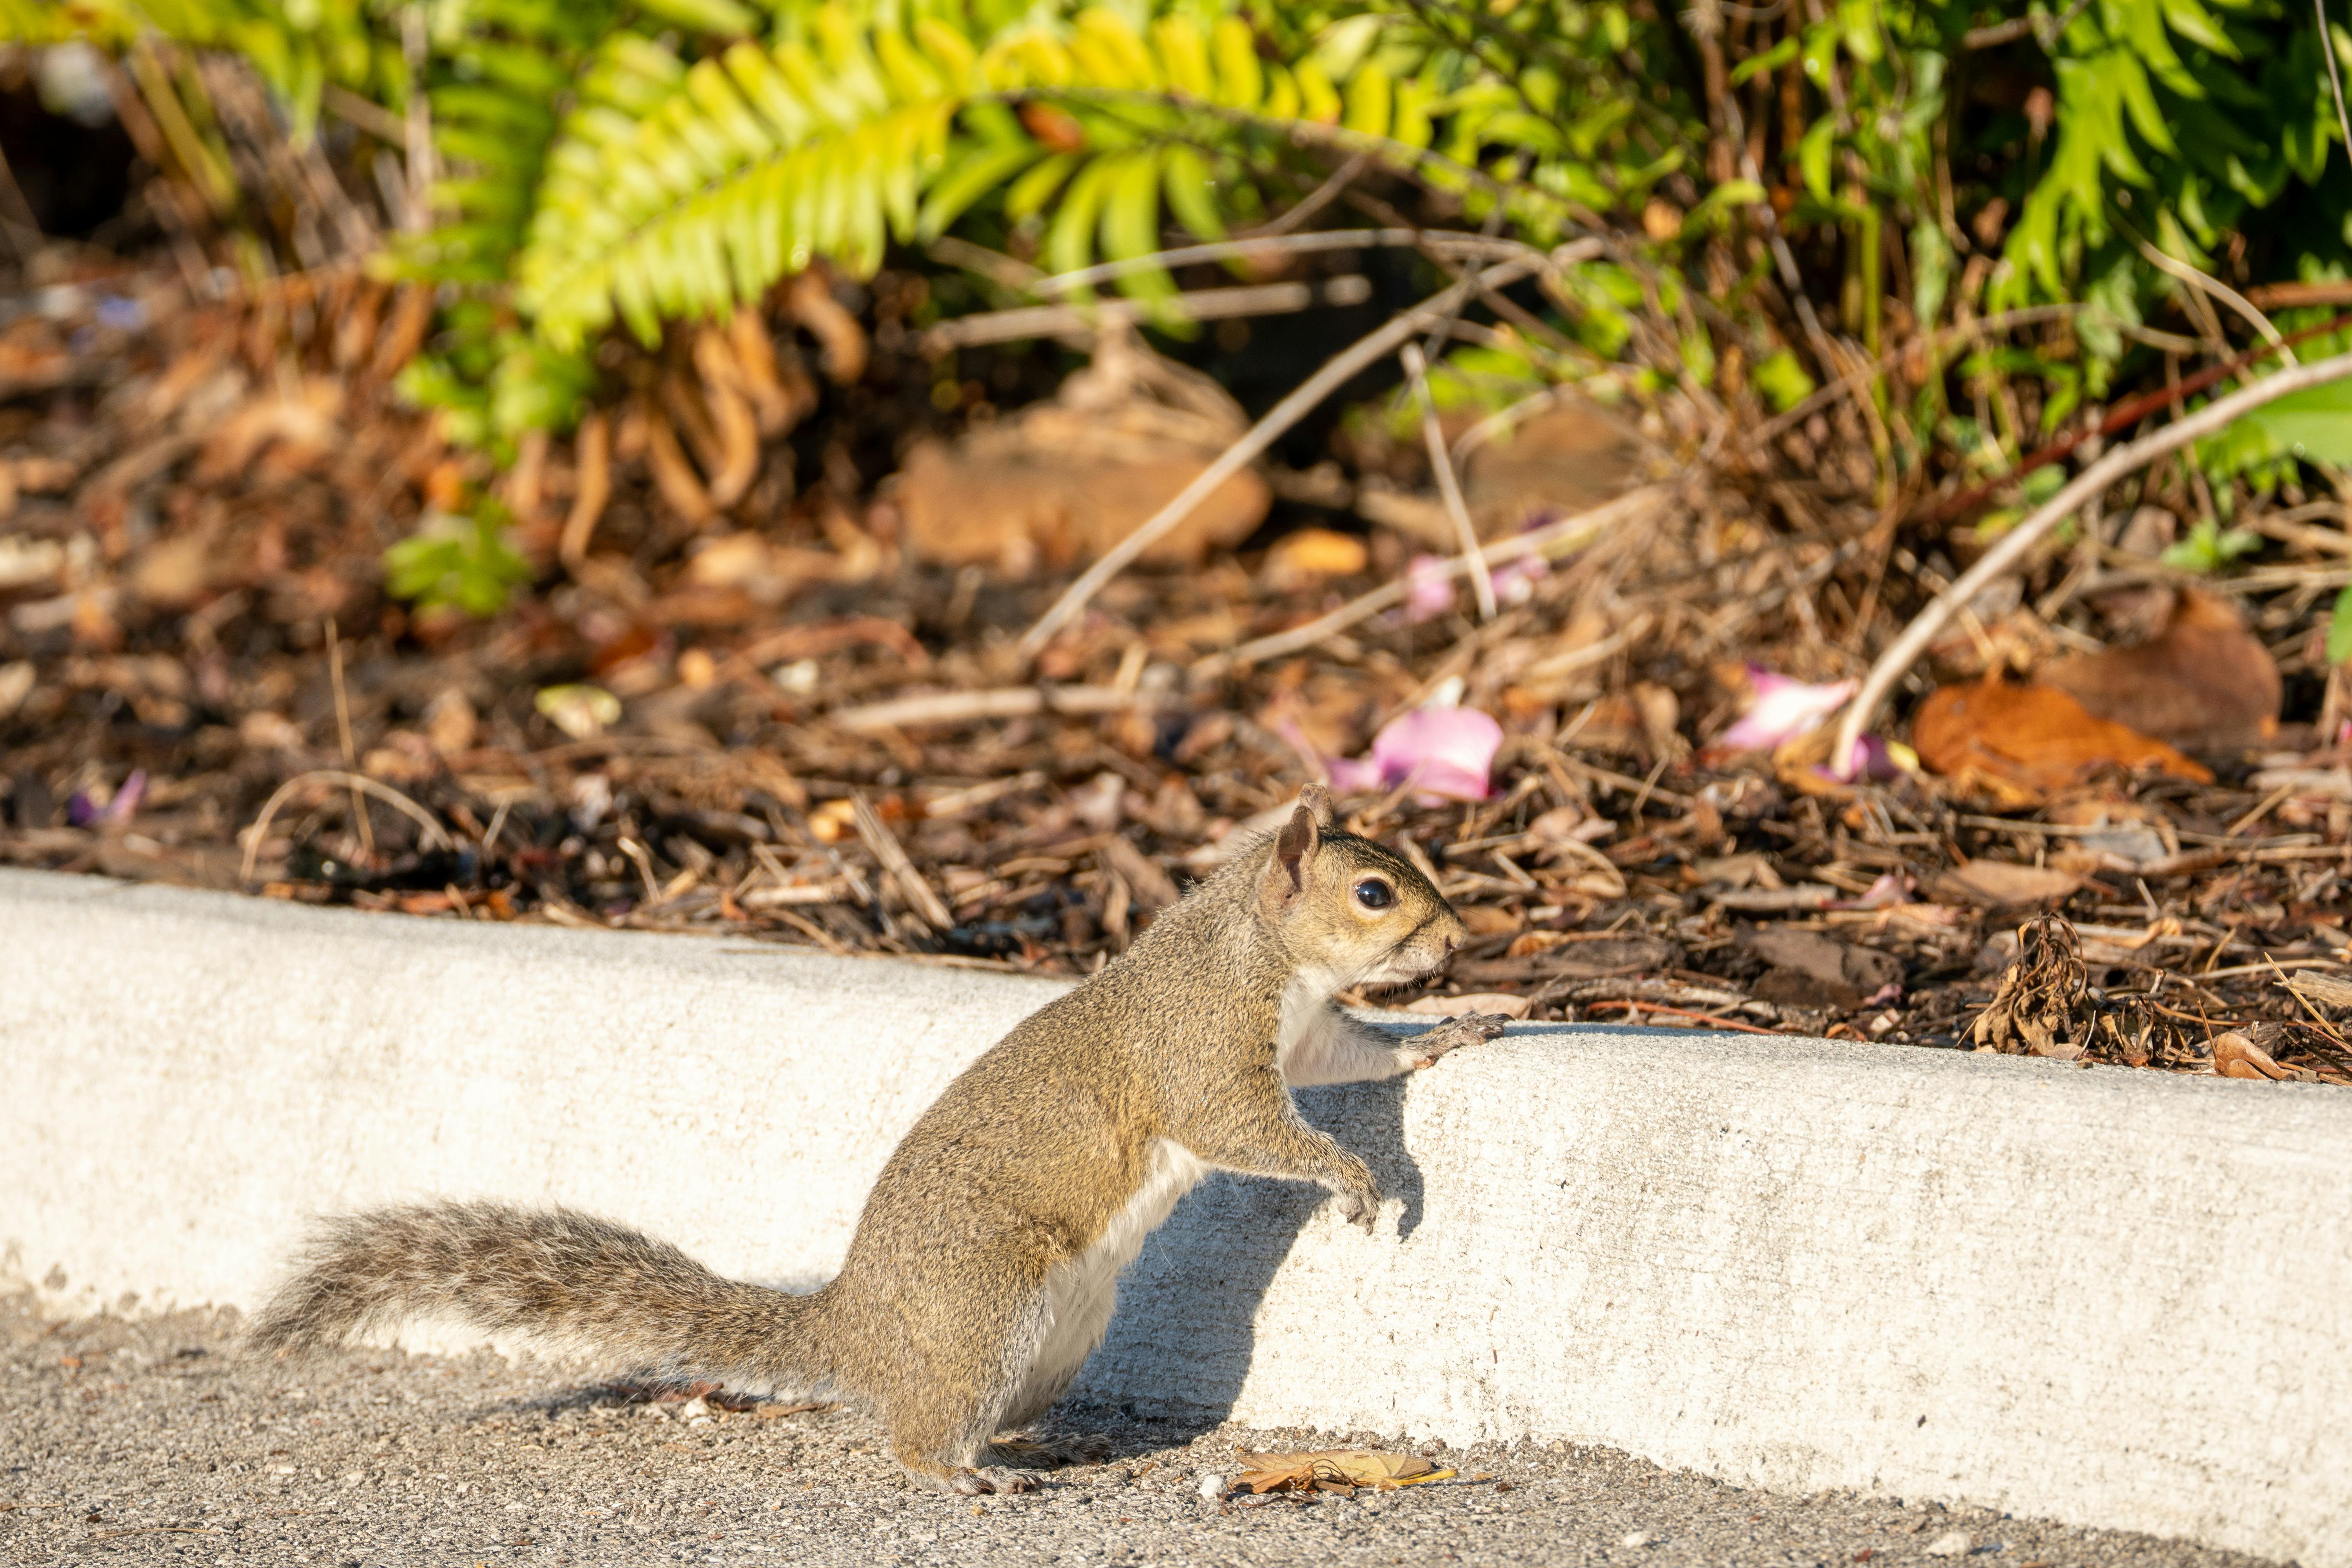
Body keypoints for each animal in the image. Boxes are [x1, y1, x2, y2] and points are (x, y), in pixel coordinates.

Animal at [248, 783, 1507, 1497]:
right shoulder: (1201, 1051)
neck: (1255, 949)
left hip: (1055, 1341)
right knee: (913, 1434)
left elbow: (1359, 1060)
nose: (1460, 942)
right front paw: (1350, 1173)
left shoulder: (1308, 1037)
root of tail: (853, 1326)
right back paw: (960, 1481)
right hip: (987, 1309)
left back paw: (1018, 1454)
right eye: (1375, 892)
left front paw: (1449, 1034)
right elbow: (1245, 1126)